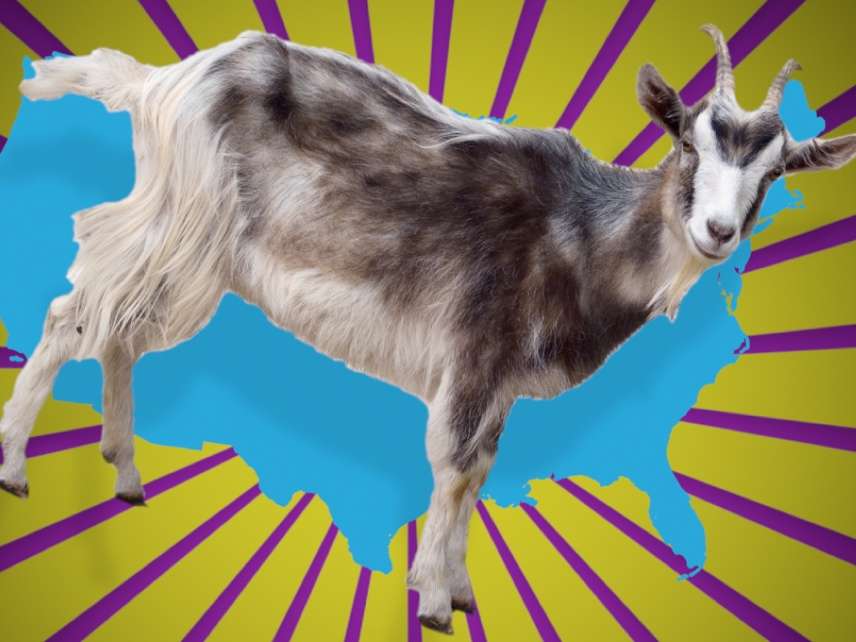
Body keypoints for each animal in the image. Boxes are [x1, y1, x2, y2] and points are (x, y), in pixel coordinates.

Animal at [2, 25, 854, 634]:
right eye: (687, 143)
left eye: (774, 173)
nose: (717, 232)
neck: (580, 232)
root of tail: (163, 82)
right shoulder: (474, 348)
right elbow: (452, 463)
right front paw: (437, 605)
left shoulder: (501, 379)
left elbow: (479, 472)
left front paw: (463, 590)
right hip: (185, 221)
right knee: (74, 311)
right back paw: (17, 467)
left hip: (185, 241)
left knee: (119, 327)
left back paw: (124, 470)